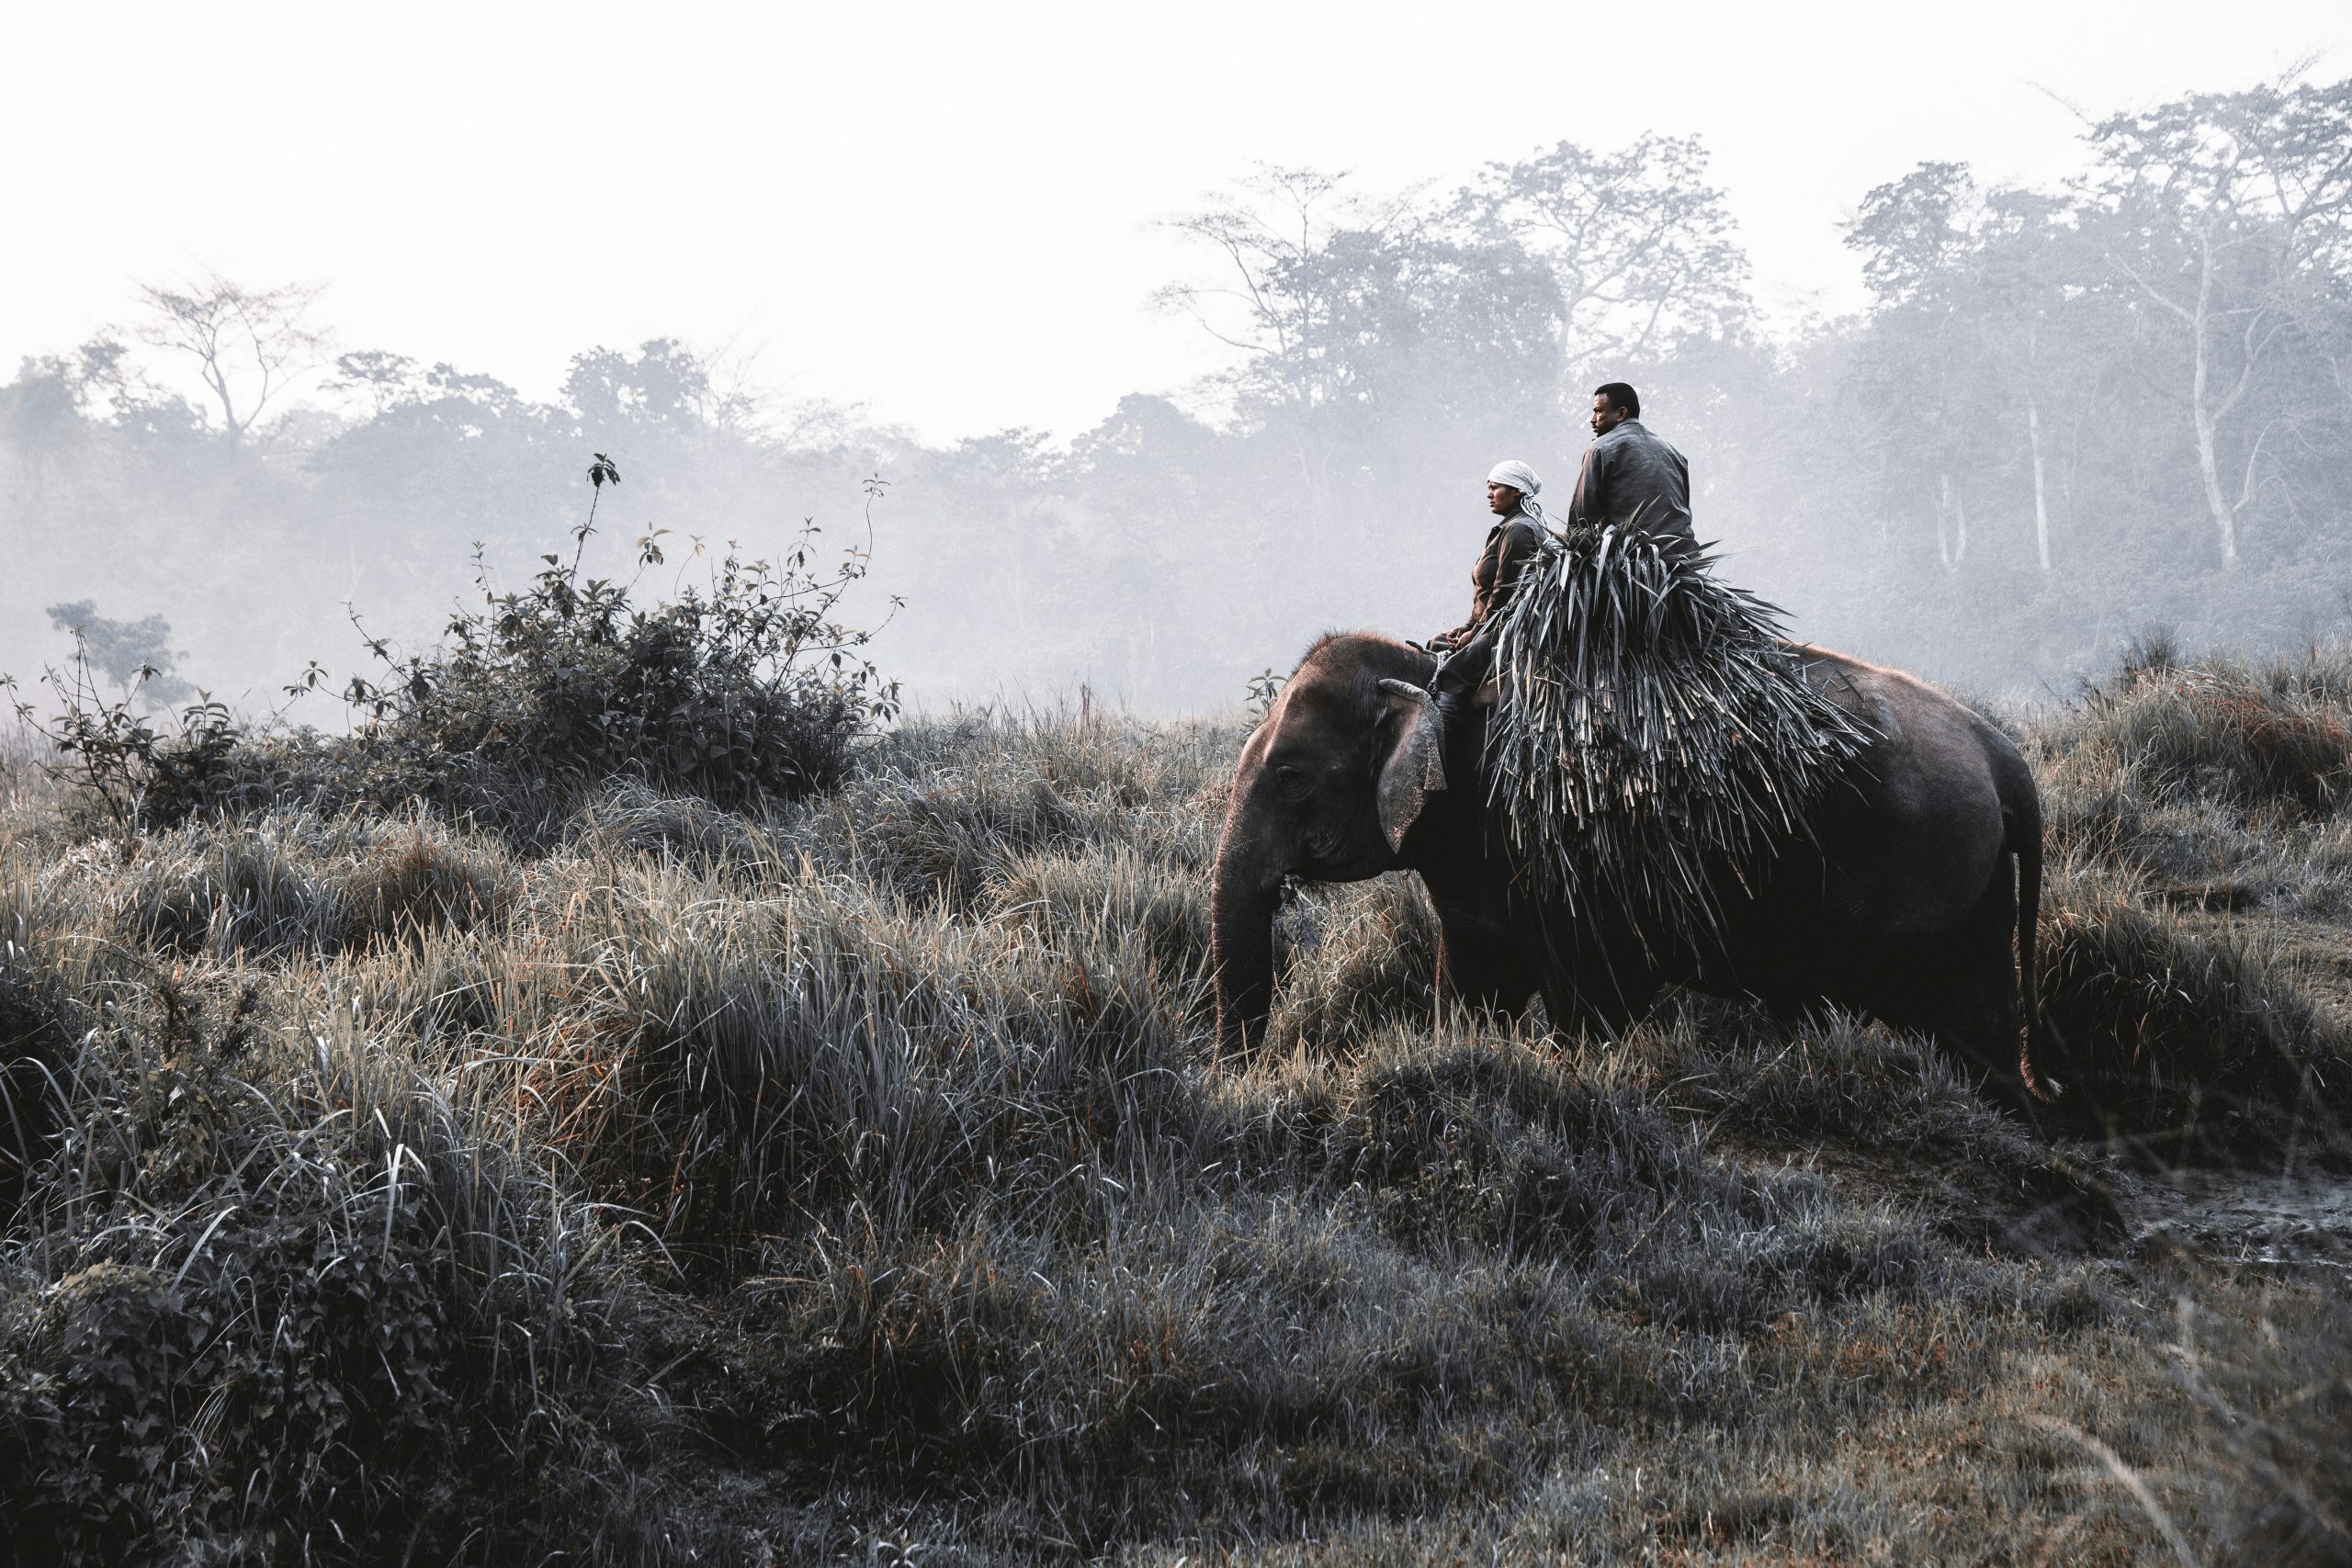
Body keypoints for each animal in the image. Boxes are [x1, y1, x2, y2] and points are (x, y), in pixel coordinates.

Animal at [1209, 632, 2061, 1106]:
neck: (1436, 676)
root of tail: (2002, 754)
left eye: (1291, 775)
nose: (1237, 1082)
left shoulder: (1564, 850)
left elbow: (1596, 993)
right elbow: (1476, 984)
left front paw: (1569, 1068)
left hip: (1920, 868)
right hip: (1980, 882)